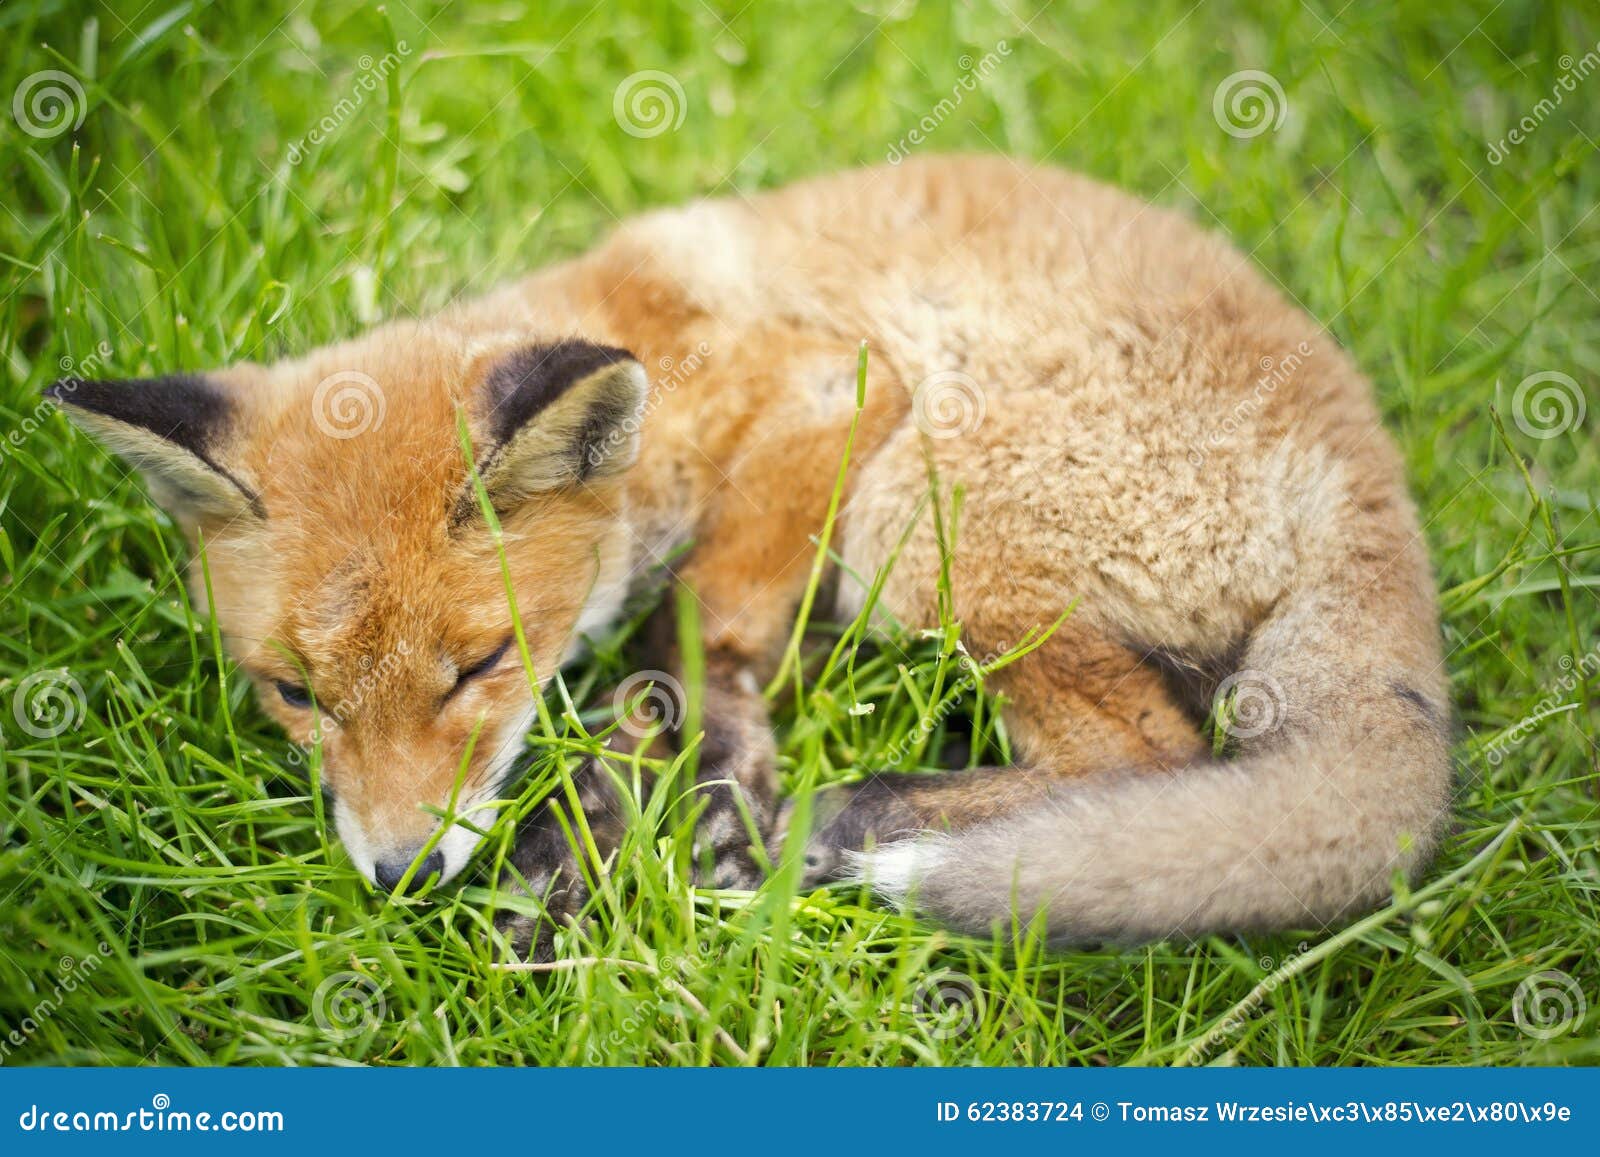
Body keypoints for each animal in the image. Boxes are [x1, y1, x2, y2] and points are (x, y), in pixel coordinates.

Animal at [47, 155, 1452, 951]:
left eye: (480, 667)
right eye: (295, 693)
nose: (400, 876)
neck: (658, 342)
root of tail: (1370, 479)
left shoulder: (838, 386)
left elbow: (698, 623)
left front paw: (675, 794)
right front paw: (598, 828)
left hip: (917, 522)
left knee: (1149, 757)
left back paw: (862, 815)